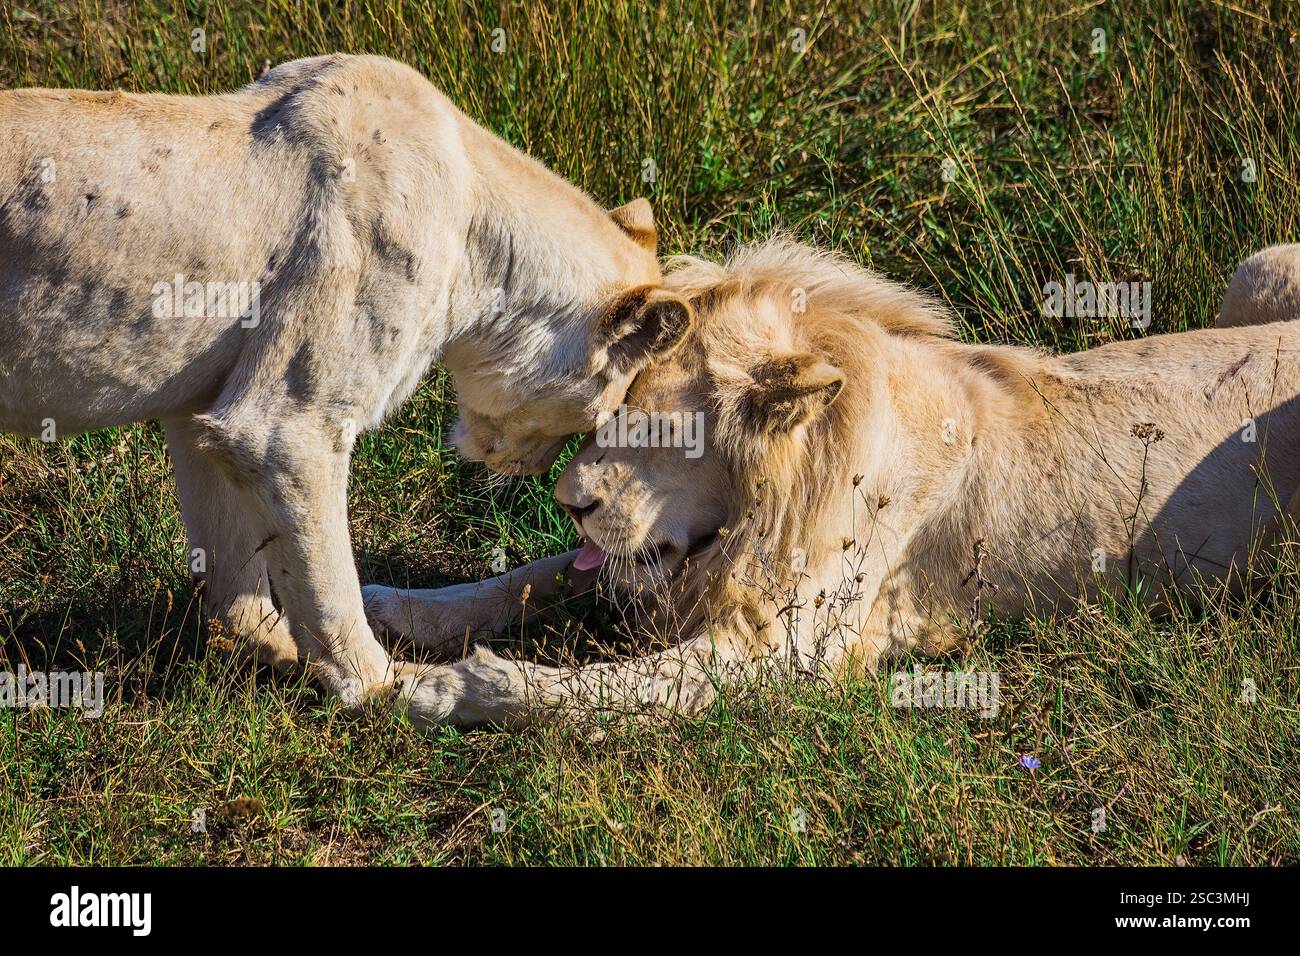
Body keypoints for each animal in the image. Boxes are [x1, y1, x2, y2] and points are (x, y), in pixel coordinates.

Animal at [0, 54, 691, 705]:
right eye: (601, 416)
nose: (538, 479)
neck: (478, 247)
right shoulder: (286, 426)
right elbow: (330, 578)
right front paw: (388, 688)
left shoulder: (201, 402)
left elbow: (234, 575)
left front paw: (271, 651)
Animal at [364, 240, 1300, 728]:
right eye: (604, 417)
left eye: (662, 433)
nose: (571, 503)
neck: (768, 500)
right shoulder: (675, 568)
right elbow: (517, 581)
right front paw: (391, 609)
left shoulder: (792, 649)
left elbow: (602, 688)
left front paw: (445, 687)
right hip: (1262, 265)